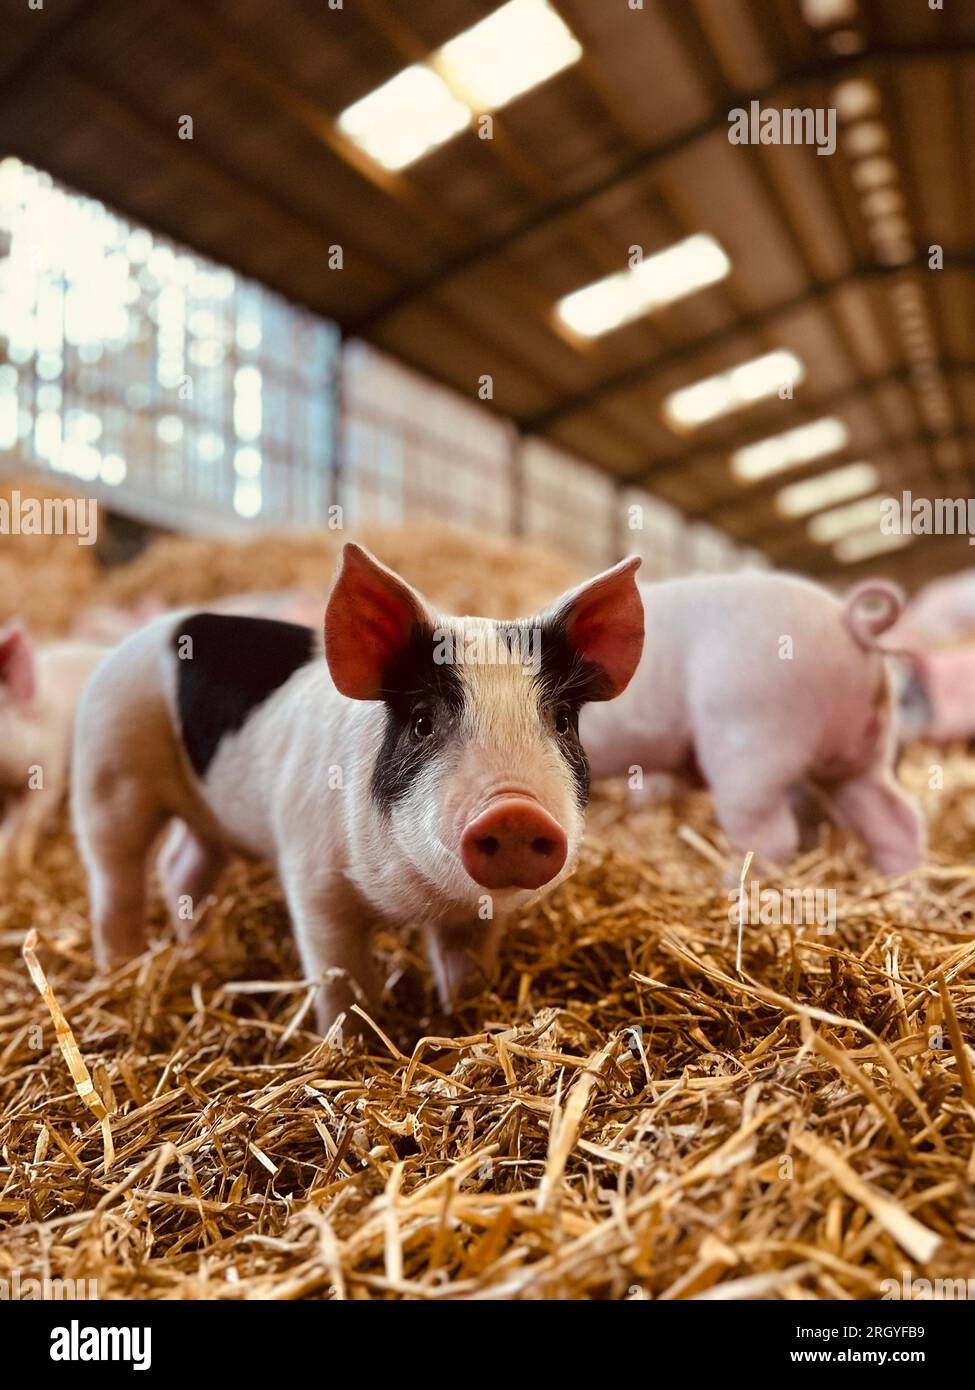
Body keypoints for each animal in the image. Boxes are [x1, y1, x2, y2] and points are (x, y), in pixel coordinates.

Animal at [71, 543, 644, 1032]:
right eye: (422, 721)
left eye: (563, 721)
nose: (515, 812)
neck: (414, 903)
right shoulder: (313, 877)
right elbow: (341, 979)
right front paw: (350, 1047)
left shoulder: (477, 919)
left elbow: (465, 972)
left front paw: (463, 1025)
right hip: (109, 769)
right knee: (116, 879)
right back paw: (118, 968)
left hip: (208, 812)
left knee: (182, 869)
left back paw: (215, 956)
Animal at [580, 573, 923, 876]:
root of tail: (853, 623)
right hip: (858, 757)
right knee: (898, 820)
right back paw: (905, 889)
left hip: (752, 743)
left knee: (774, 838)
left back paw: (727, 885)